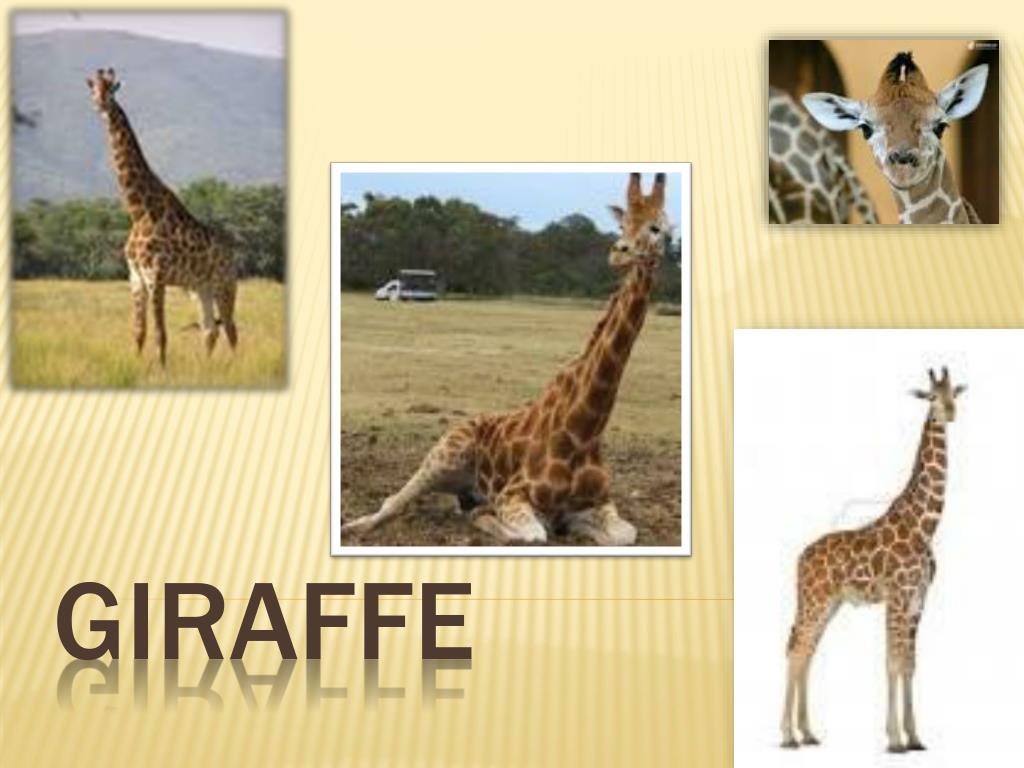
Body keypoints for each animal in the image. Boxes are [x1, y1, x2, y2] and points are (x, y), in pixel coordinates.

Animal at [86, 68, 238, 365]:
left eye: (111, 89)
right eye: (93, 88)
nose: (99, 104)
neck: (138, 212)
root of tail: (234, 256)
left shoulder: (156, 275)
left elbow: (160, 332)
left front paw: (161, 370)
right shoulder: (135, 277)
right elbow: (139, 331)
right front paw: (136, 366)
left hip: (224, 285)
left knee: (231, 330)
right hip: (199, 288)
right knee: (210, 330)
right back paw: (206, 368)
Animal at [342, 173, 672, 545]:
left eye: (657, 228)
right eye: (622, 224)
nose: (620, 253)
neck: (586, 431)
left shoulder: (601, 502)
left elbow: (625, 534)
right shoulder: (513, 495)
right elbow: (533, 534)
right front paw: (488, 518)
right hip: (444, 455)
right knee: (392, 503)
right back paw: (351, 527)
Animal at [781, 367, 966, 753]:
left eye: (953, 393)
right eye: (931, 396)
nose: (950, 411)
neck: (926, 525)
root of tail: (800, 558)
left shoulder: (918, 599)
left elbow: (909, 663)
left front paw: (915, 737)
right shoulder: (896, 596)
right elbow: (892, 662)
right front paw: (895, 739)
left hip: (829, 603)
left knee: (806, 651)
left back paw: (807, 733)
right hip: (815, 600)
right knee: (796, 649)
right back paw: (788, 735)